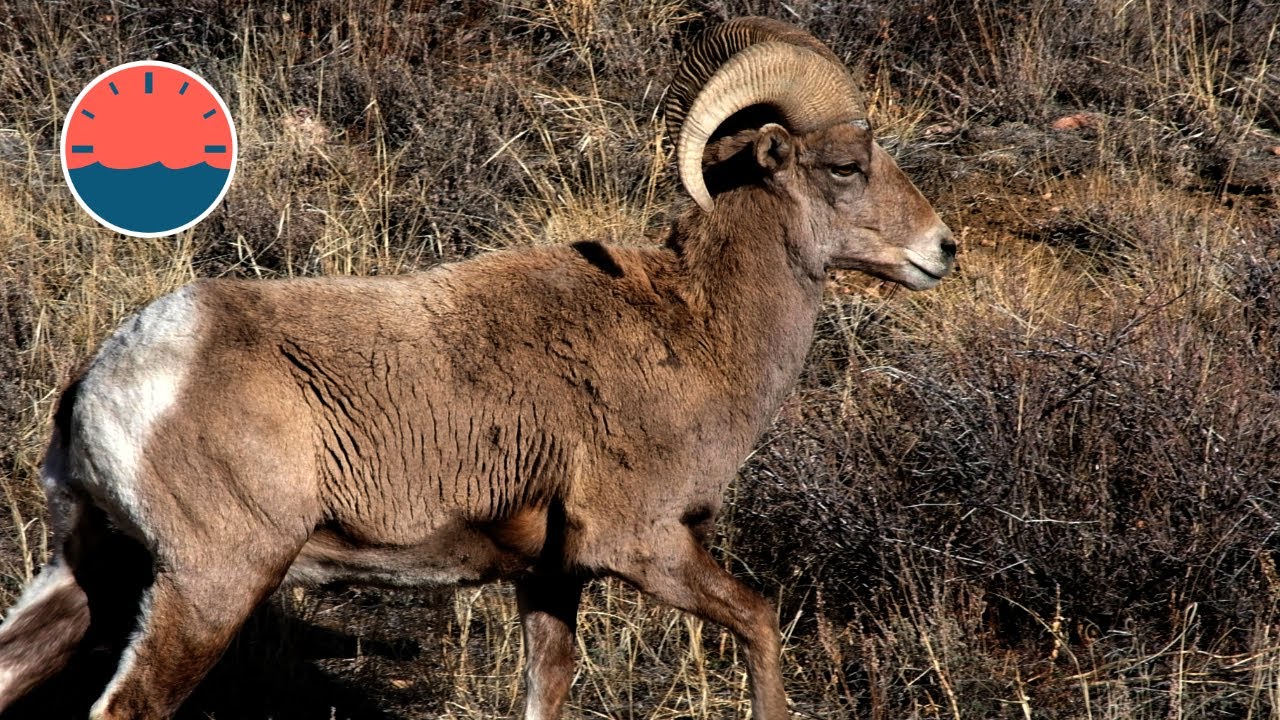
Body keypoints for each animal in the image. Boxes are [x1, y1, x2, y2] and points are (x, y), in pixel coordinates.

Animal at [0, 16, 955, 720]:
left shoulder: (550, 580)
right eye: (846, 167)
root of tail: (108, 379)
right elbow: (759, 622)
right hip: (209, 586)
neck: (694, 333)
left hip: (92, 574)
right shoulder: (642, 544)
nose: (942, 250)